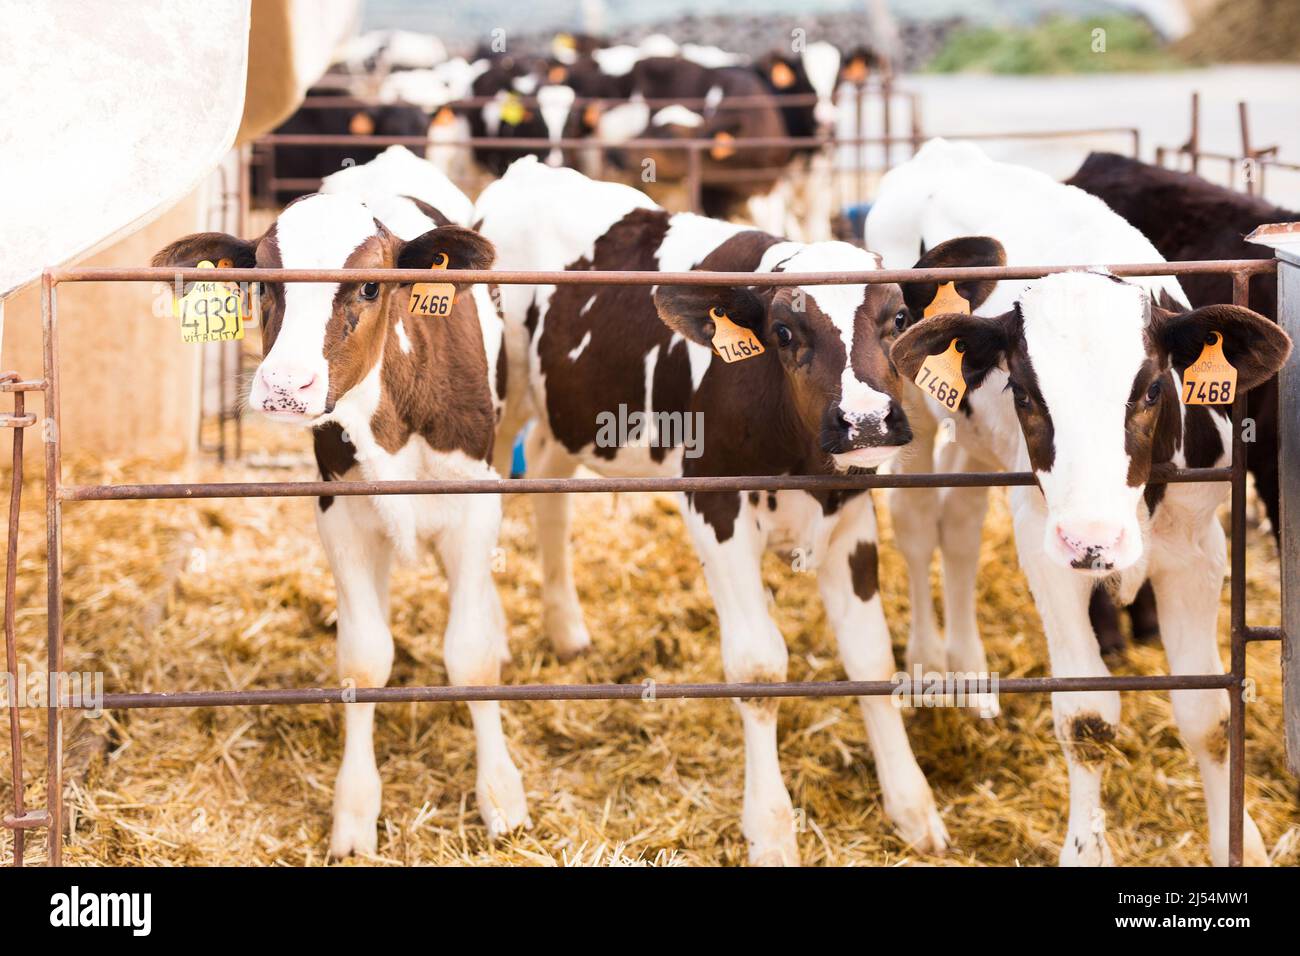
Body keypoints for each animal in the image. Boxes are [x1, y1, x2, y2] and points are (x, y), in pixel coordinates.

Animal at [152, 159, 526, 859]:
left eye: (371, 287)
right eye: (262, 283)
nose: (283, 386)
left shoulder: (475, 500)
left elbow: (469, 653)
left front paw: (500, 796)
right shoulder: (340, 513)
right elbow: (363, 657)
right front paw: (354, 810)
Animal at [475, 156, 1005, 865]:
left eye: (897, 318)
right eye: (783, 332)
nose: (866, 421)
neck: (799, 461)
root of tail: (529, 168)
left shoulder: (851, 515)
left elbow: (871, 658)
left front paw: (912, 807)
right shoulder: (715, 507)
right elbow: (758, 667)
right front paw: (772, 829)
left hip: (568, 412)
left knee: (547, 489)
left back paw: (566, 628)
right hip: (500, 404)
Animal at [866, 138, 1202, 671]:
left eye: (1153, 389)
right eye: (1023, 392)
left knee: (960, 520)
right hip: (911, 408)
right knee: (915, 518)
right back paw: (929, 656)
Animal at [891, 269, 1289, 866]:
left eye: (1152, 390)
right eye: (1024, 394)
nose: (1092, 538)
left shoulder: (1198, 553)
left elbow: (1208, 716)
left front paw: (1236, 842)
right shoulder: (1048, 557)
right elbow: (1086, 718)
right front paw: (1085, 848)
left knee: (960, 522)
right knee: (916, 523)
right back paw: (929, 661)